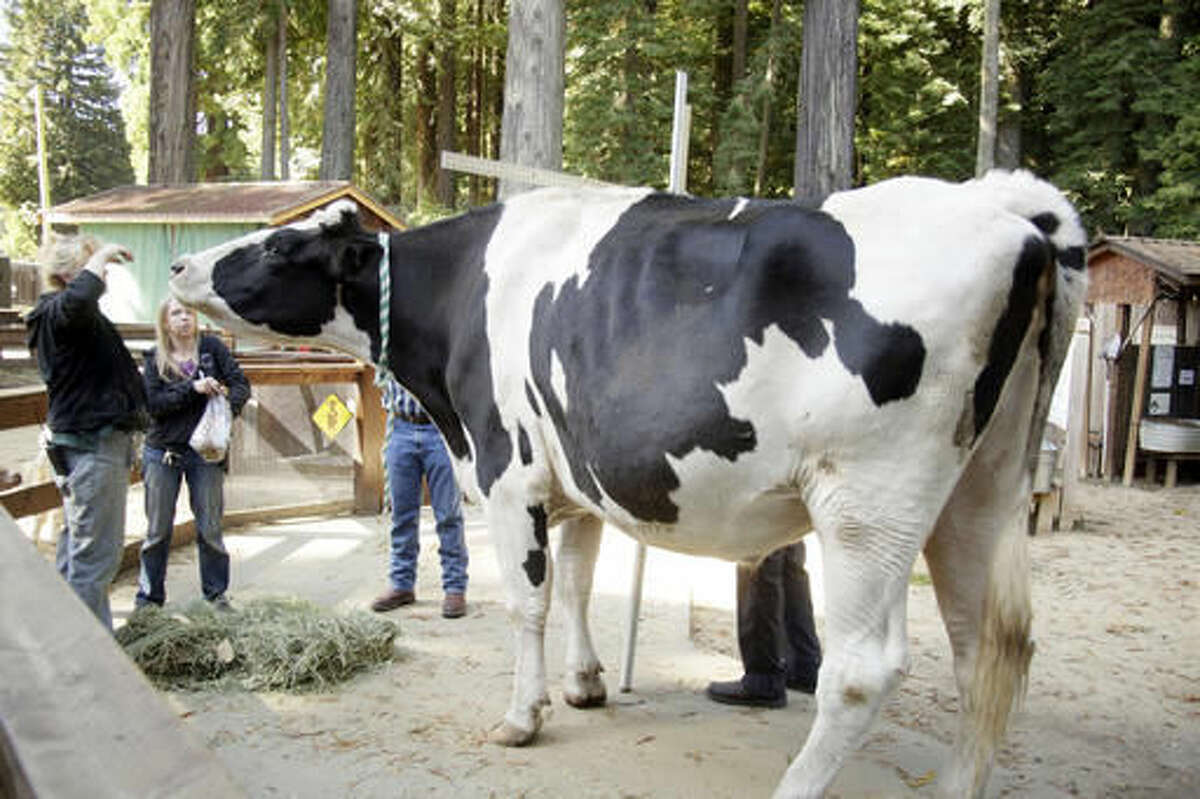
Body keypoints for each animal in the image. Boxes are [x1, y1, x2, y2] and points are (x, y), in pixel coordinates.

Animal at [168, 170, 1086, 798]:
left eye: (280, 246)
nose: (179, 265)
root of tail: (1007, 207)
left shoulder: (508, 467)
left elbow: (530, 600)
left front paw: (523, 714)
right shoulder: (576, 475)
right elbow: (578, 581)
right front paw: (585, 685)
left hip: (870, 500)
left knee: (865, 669)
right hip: (980, 489)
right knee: (986, 648)